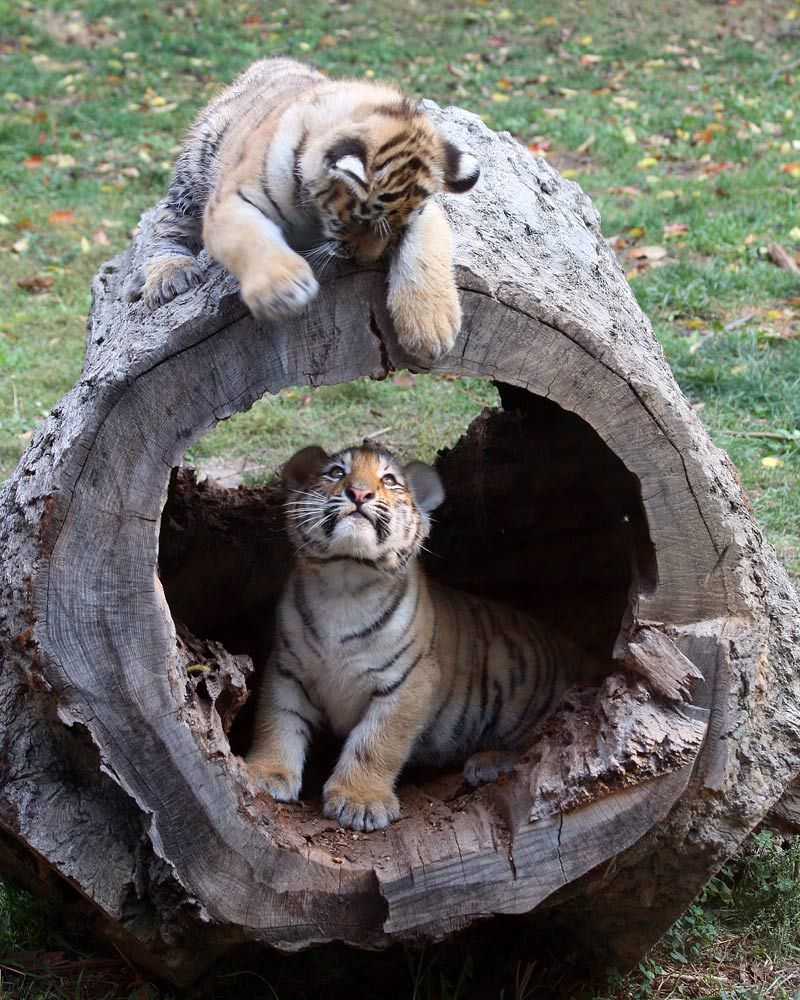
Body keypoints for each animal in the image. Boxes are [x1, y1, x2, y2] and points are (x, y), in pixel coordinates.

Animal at [126, 58, 481, 362]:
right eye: (361, 220)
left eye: (397, 229)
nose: (365, 261)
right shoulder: (231, 201)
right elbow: (250, 240)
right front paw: (283, 289)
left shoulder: (427, 211)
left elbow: (425, 253)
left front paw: (432, 330)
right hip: (195, 166)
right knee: (169, 223)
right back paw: (169, 276)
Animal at [245, 442, 596, 833]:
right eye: (336, 472)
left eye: (389, 480)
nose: (359, 493)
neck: (345, 583)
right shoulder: (287, 668)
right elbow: (277, 720)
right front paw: (265, 774)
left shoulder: (410, 681)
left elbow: (375, 742)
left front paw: (359, 801)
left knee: (541, 741)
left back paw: (487, 762)